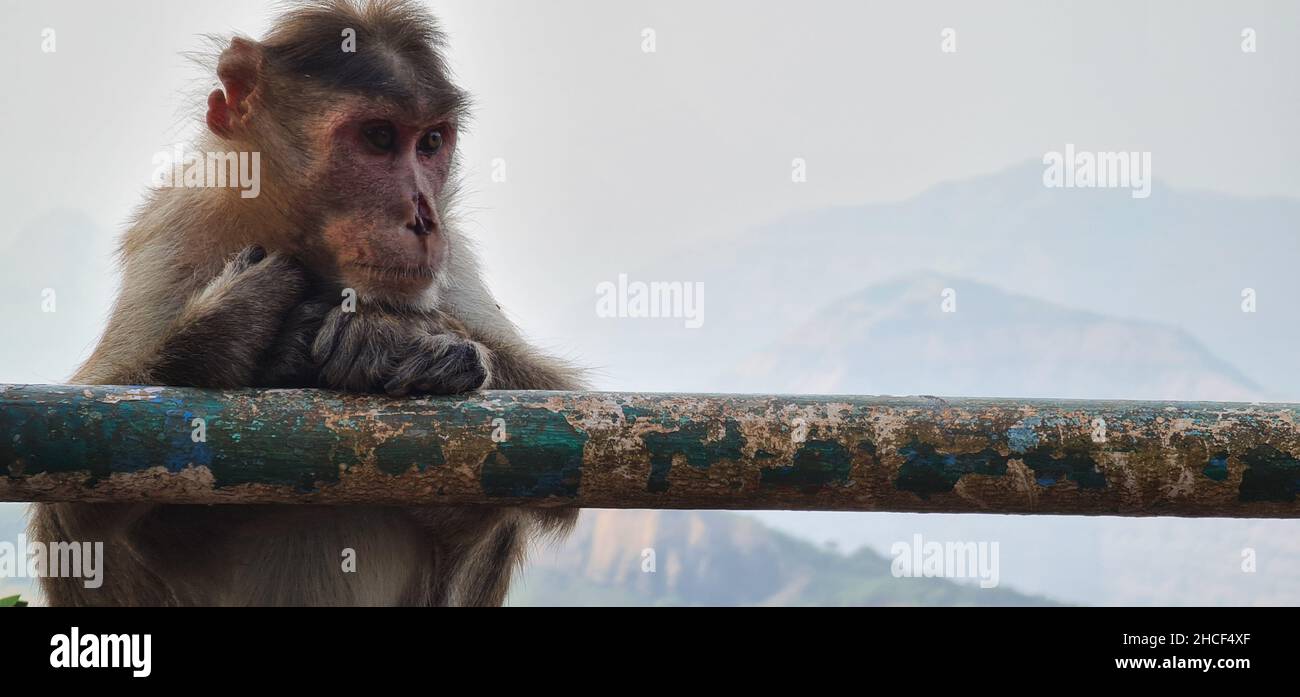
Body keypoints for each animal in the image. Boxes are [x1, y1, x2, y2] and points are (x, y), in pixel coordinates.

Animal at [32, 0, 583, 606]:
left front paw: (394, 336)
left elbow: (557, 412)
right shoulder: (177, 230)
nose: (423, 219)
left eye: (431, 143)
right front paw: (230, 330)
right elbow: (79, 491)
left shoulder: (451, 258)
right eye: (378, 137)